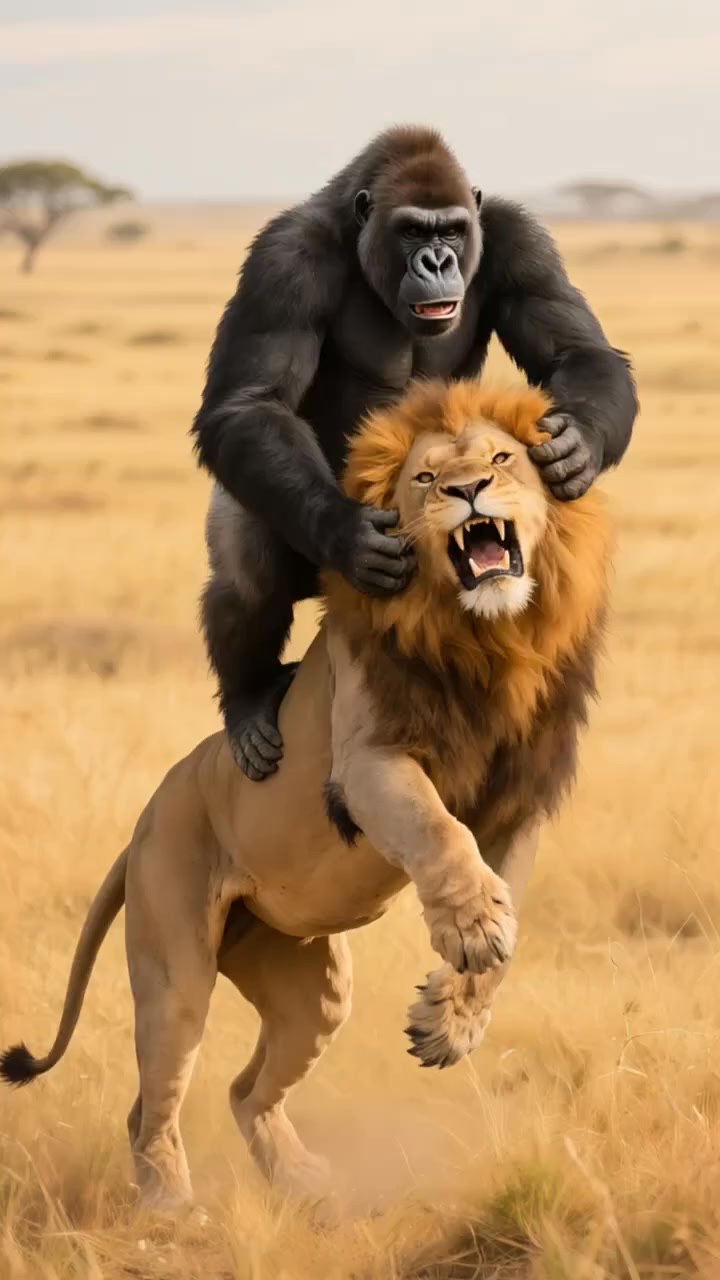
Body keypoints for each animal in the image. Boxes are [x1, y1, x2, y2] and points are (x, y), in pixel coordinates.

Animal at [0, 379, 611, 1212]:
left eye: (501, 459)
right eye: (426, 479)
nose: (467, 491)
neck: (484, 642)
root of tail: (140, 827)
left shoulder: (518, 796)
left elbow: (500, 921)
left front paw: (448, 1019)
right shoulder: (367, 761)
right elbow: (438, 833)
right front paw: (473, 926)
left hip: (310, 990)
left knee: (243, 1090)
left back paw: (305, 1185)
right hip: (176, 973)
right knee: (152, 1101)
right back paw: (172, 1206)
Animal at [192, 125, 637, 781]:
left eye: (450, 230)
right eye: (411, 231)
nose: (437, 261)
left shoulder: (520, 241)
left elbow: (578, 351)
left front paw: (577, 445)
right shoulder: (285, 260)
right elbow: (250, 403)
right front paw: (349, 533)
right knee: (251, 573)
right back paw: (249, 700)